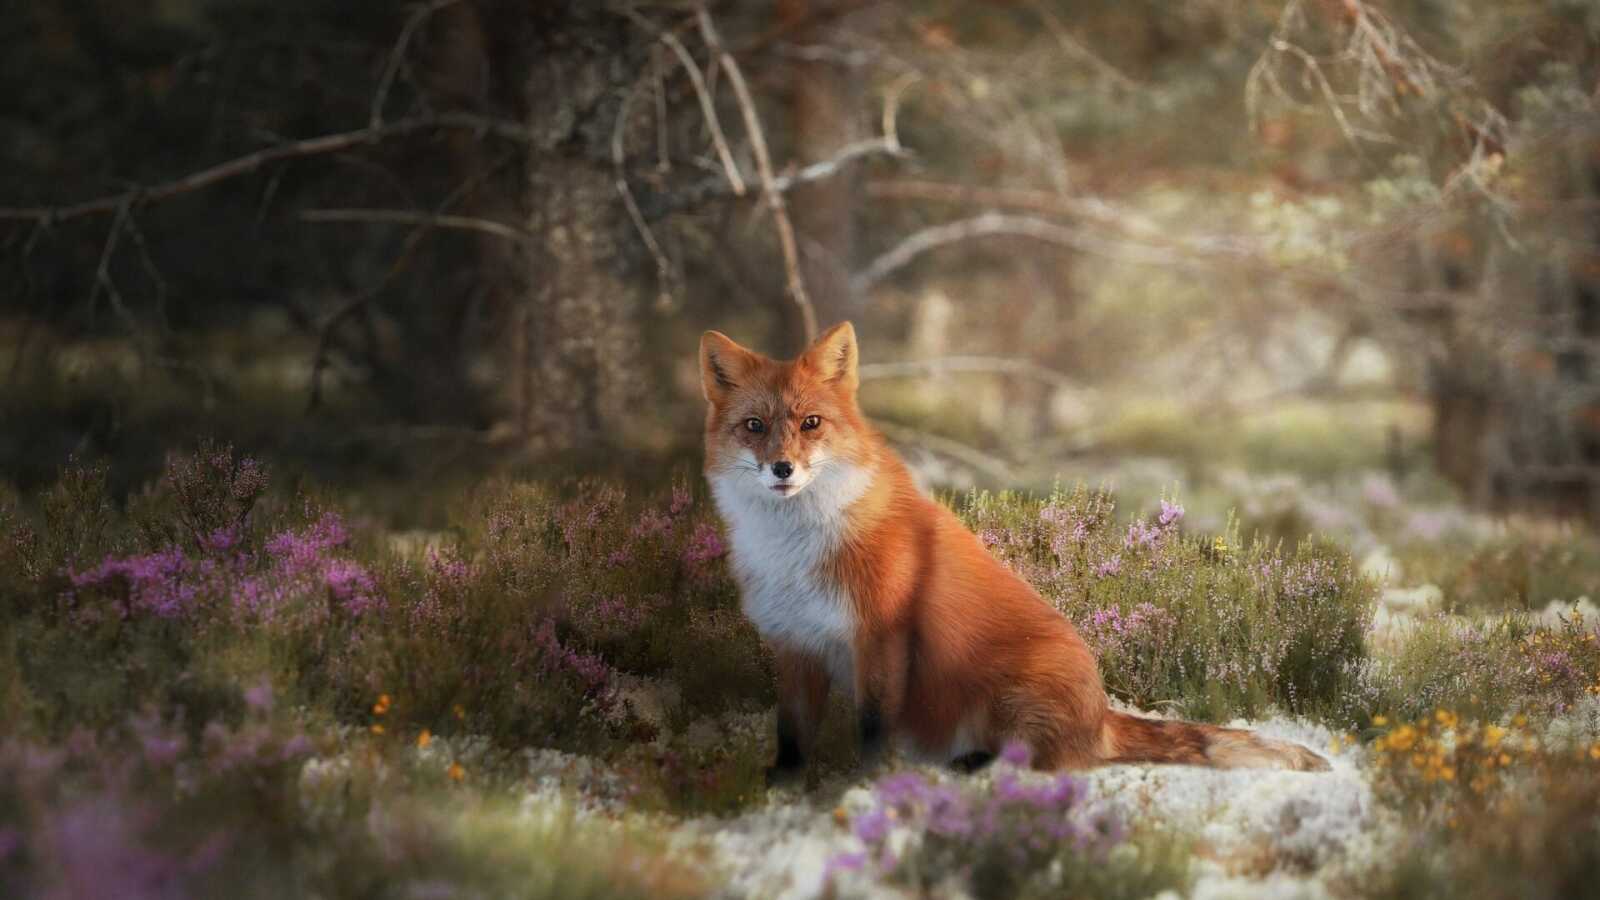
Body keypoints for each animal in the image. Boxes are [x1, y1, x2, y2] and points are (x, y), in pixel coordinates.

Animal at [699, 321, 1331, 782]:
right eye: (754, 426)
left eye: (811, 423)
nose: (782, 468)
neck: (794, 550)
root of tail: (1100, 713)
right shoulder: (794, 640)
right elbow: (791, 730)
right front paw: (784, 785)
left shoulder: (880, 634)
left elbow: (875, 729)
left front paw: (862, 785)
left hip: (1009, 693)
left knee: (1046, 761)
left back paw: (973, 763)